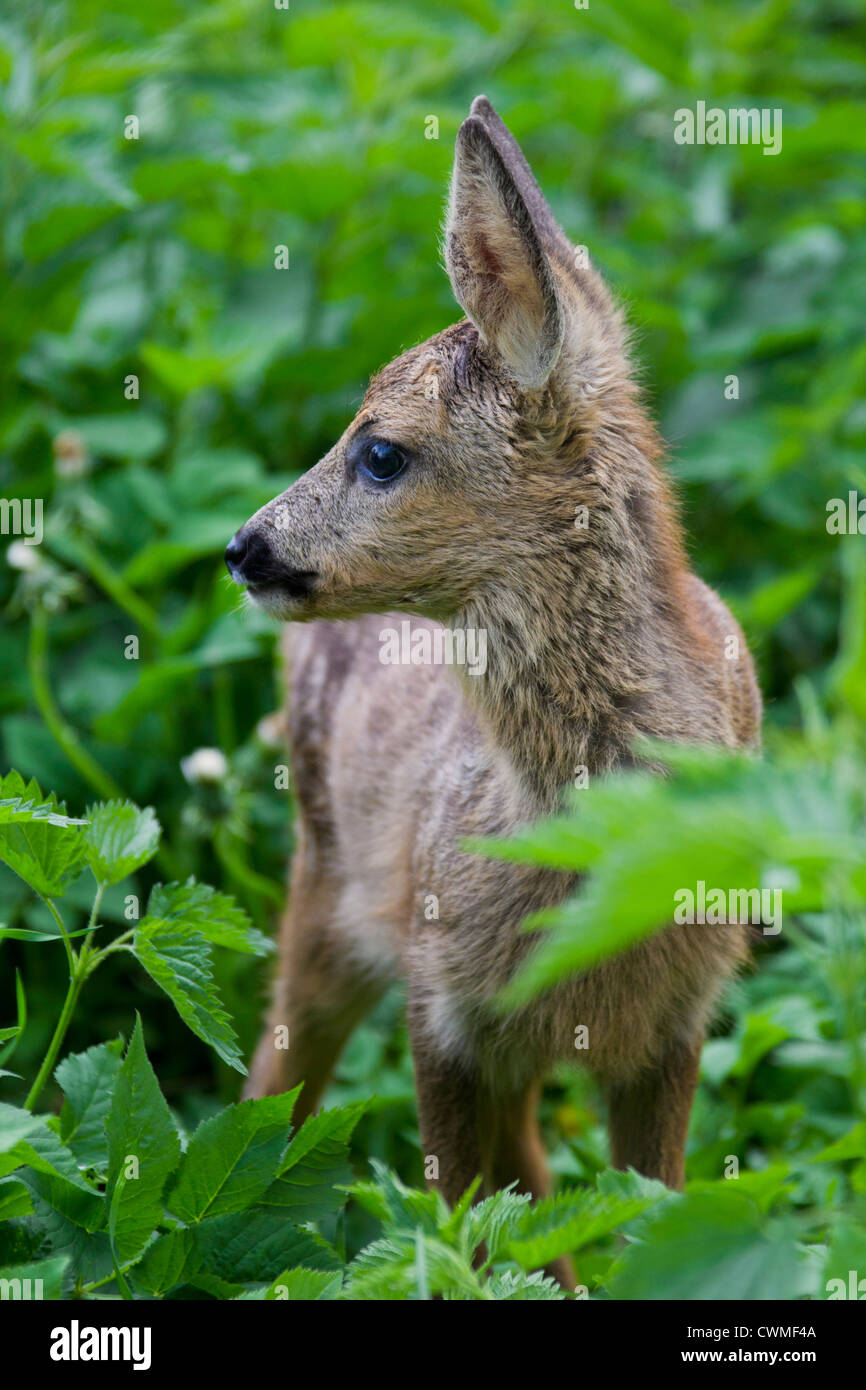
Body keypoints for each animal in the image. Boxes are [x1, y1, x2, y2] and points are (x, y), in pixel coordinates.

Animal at [225, 96, 761, 1288]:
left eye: (380, 451)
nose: (245, 547)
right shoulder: (446, 1001)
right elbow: (469, 1226)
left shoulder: (676, 1021)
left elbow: (642, 1211)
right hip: (326, 885)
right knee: (273, 1085)